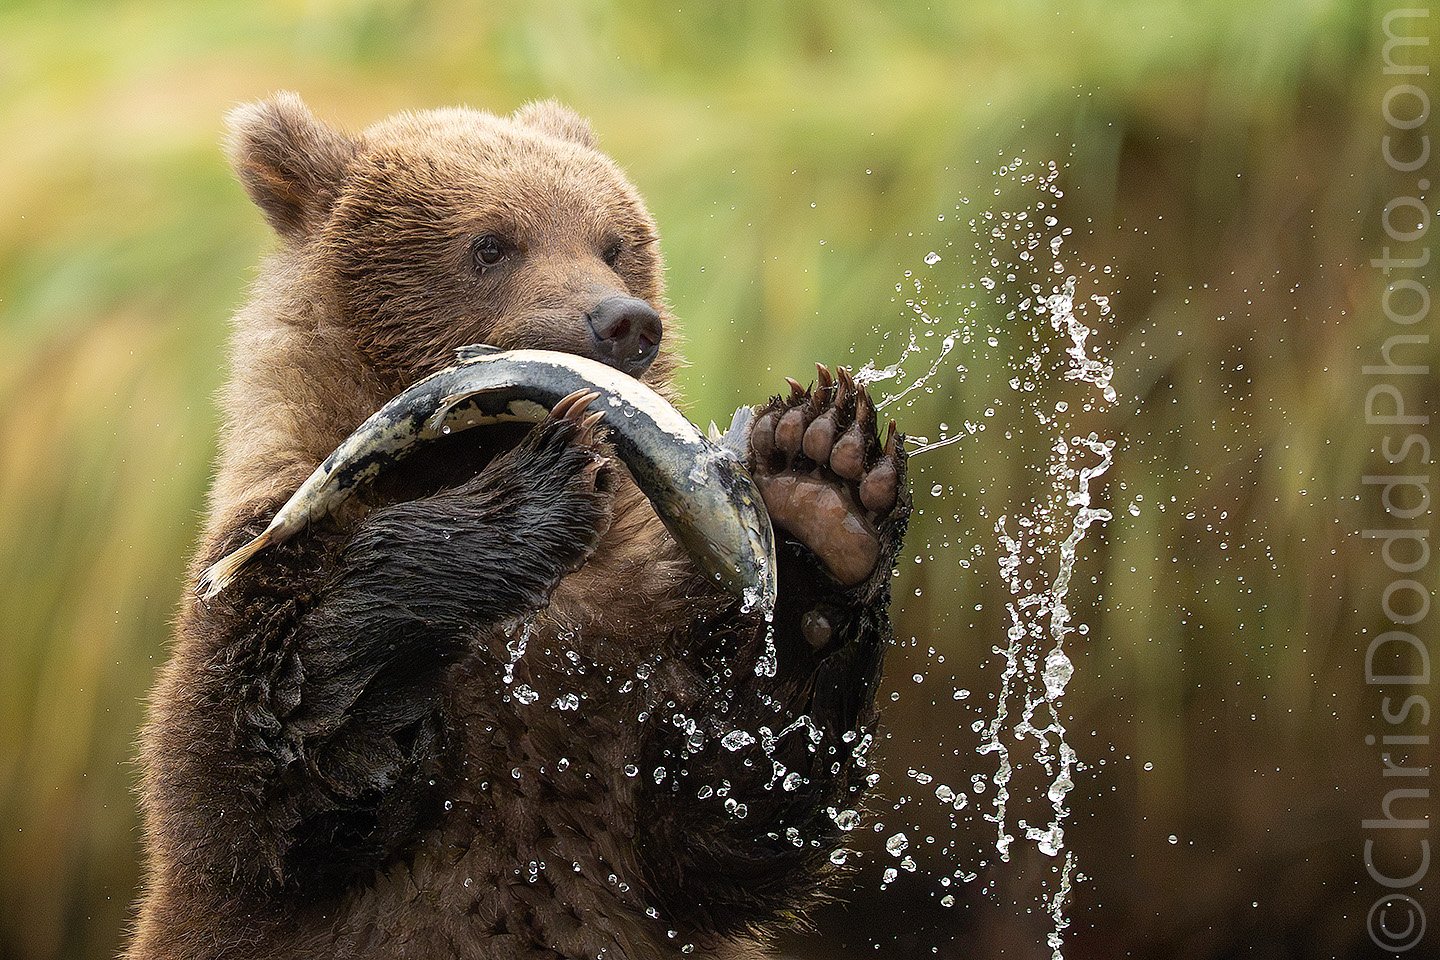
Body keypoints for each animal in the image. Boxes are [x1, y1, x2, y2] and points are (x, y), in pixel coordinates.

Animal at [128, 94, 910, 960]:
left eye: (613, 243)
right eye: (491, 243)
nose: (626, 321)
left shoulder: (635, 629)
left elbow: (724, 806)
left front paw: (822, 480)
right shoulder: (264, 574)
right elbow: (269, 773)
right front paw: (536, 485)